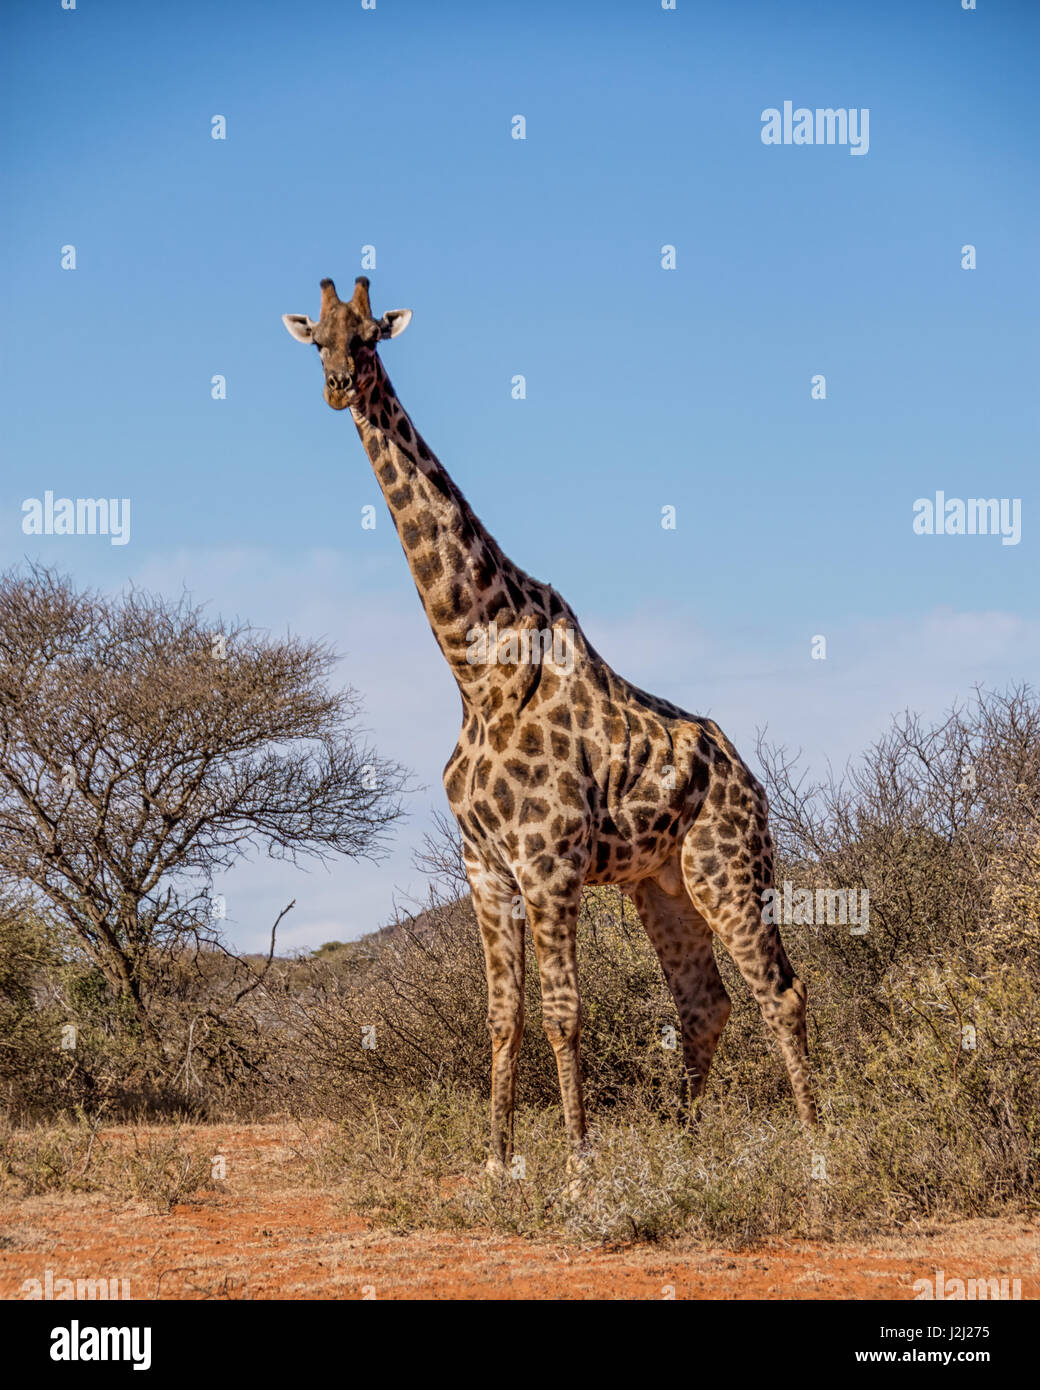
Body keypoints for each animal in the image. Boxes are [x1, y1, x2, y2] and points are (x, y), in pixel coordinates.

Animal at [283, 276, 817, 1170]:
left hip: (729, 867)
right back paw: (681, 1145)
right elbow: (502, 1017)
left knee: (780, 988)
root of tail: (750, 781)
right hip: (663, 885)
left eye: (369, 336)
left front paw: (577, 1167)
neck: (477, 670)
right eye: (316, 340)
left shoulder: (549, 860)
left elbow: (564, 1012)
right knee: (704, 1002)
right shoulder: (486, 867)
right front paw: (498, 1165)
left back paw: (820, 1148)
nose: (337, 387)